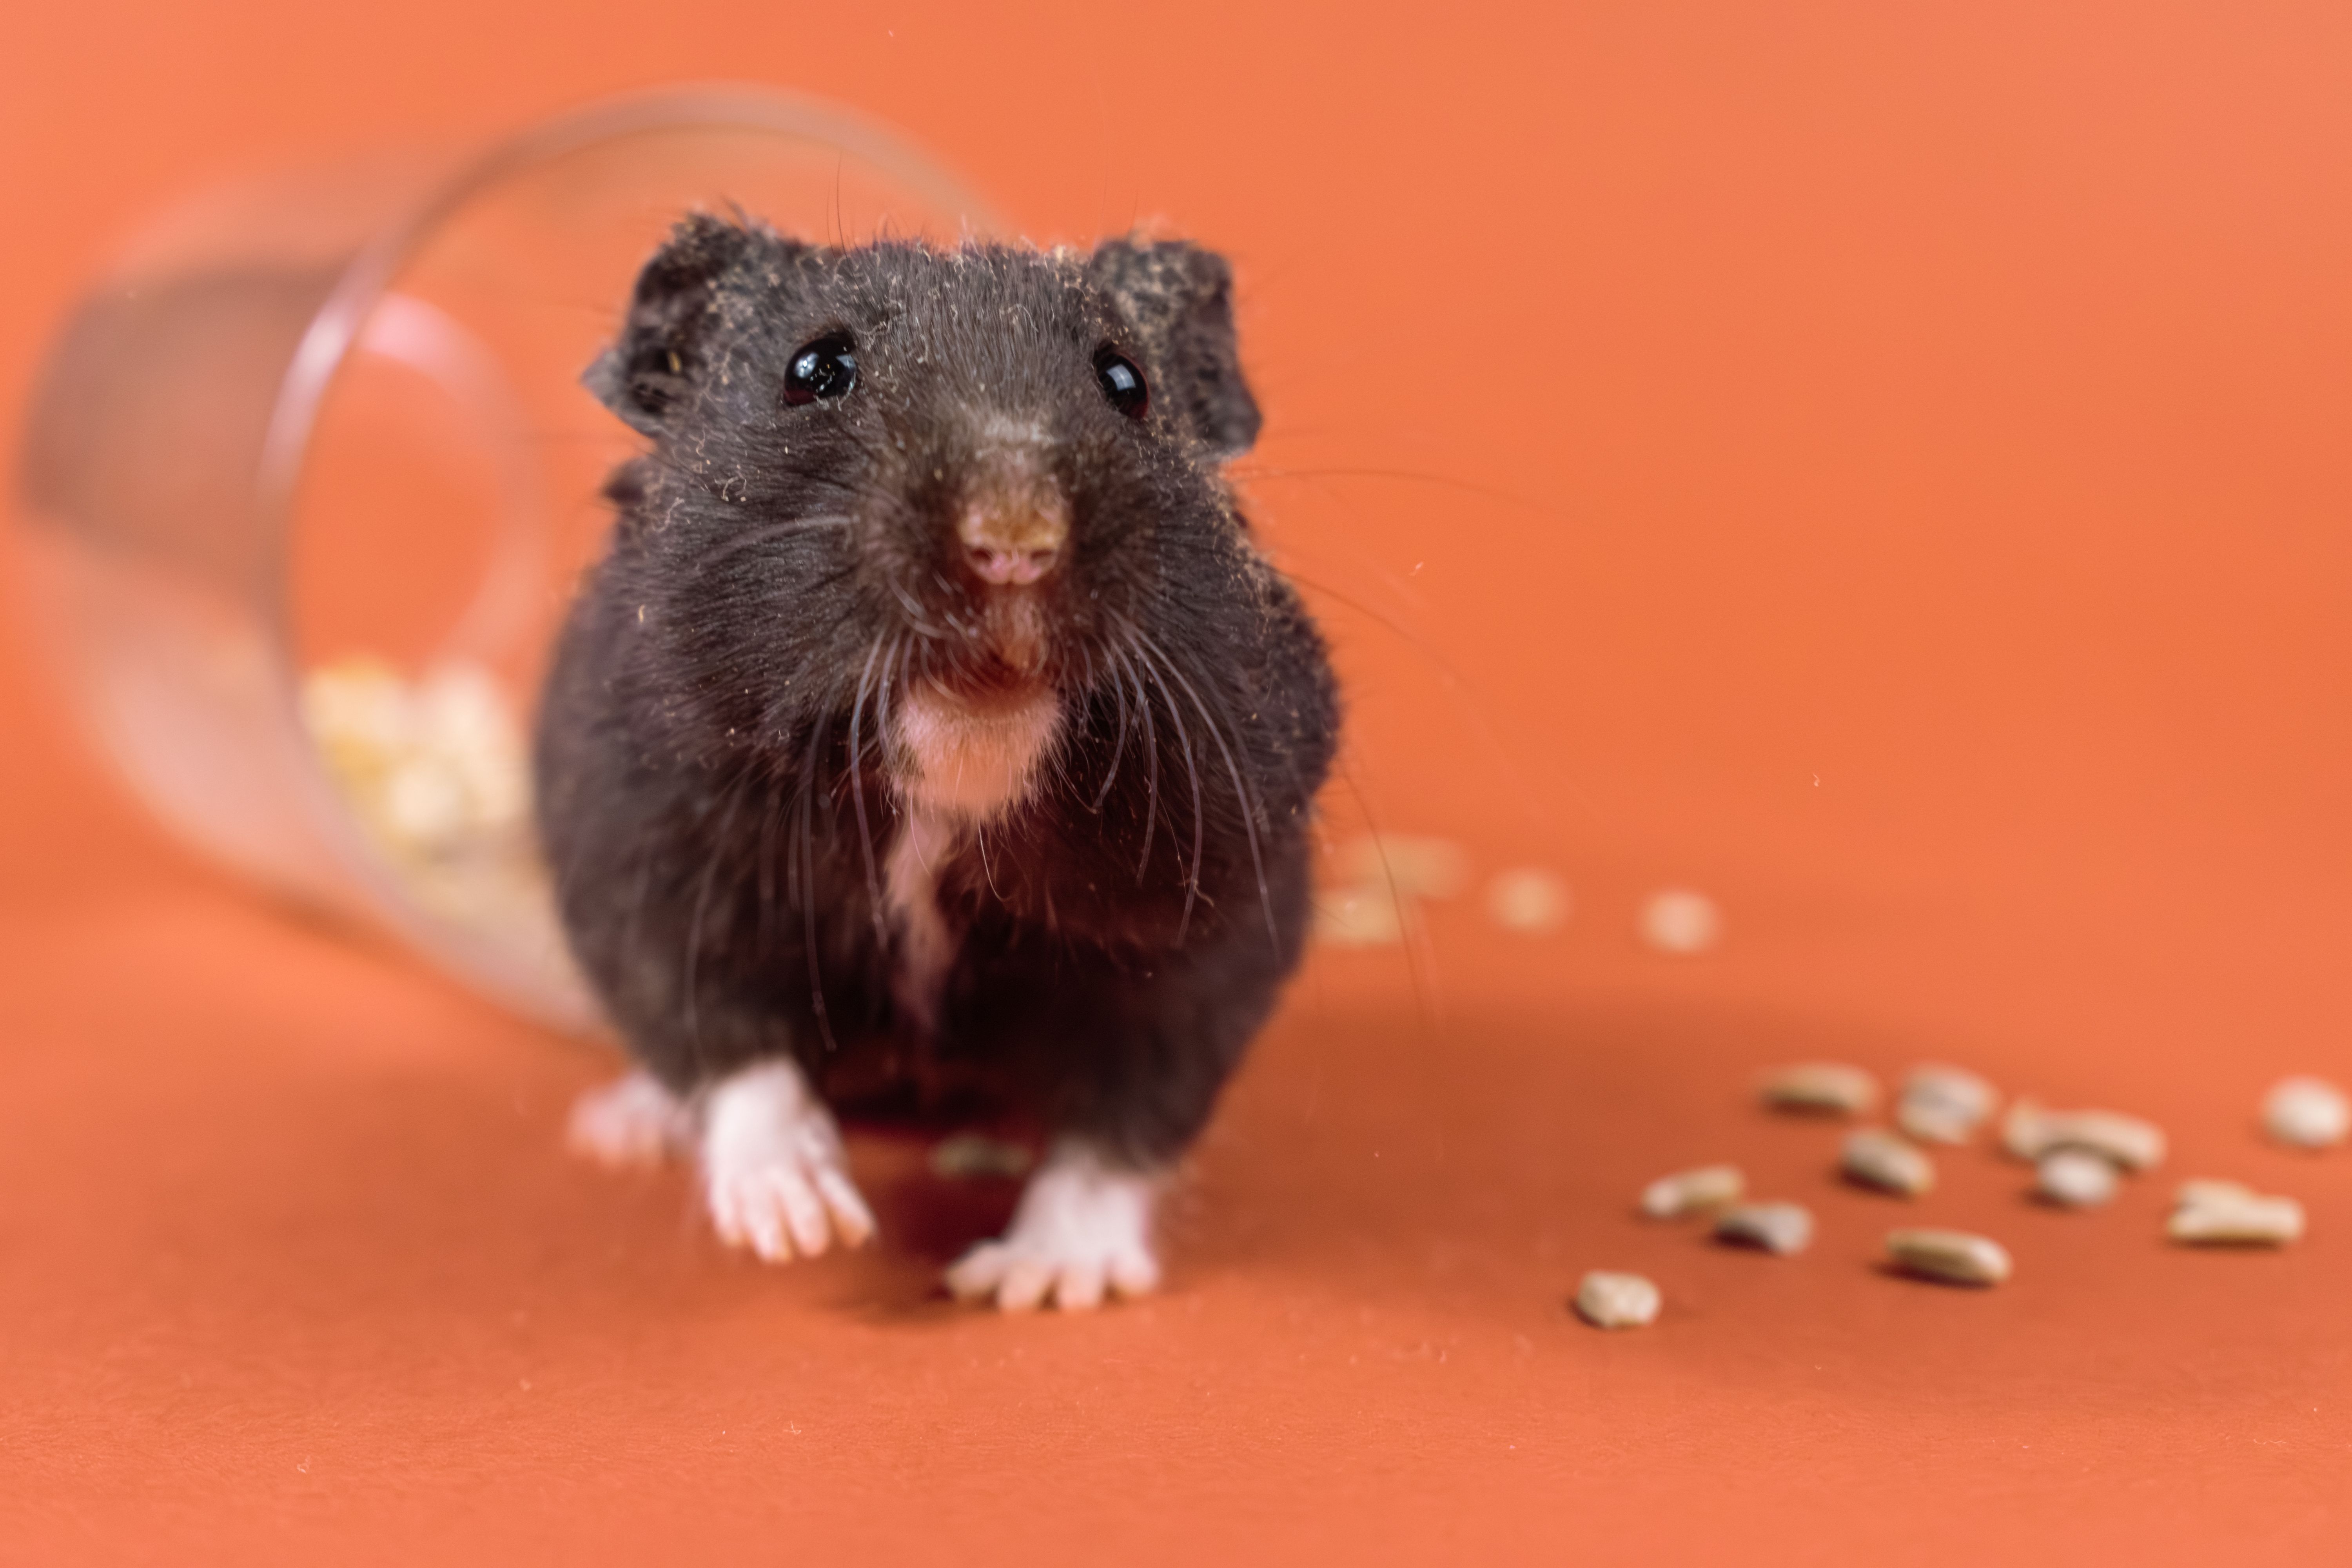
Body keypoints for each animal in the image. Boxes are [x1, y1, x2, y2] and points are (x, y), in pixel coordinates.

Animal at [536, 214, 1338, 1310]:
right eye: (815, 370)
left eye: (1125, 381)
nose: (1015, 543)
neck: (965, 753)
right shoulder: (643, 853)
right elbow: (724, 1038)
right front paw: (805, 1227)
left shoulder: (1214, 910)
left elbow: (1131, 1108)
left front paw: (1034, 1280)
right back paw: (623, 1130)